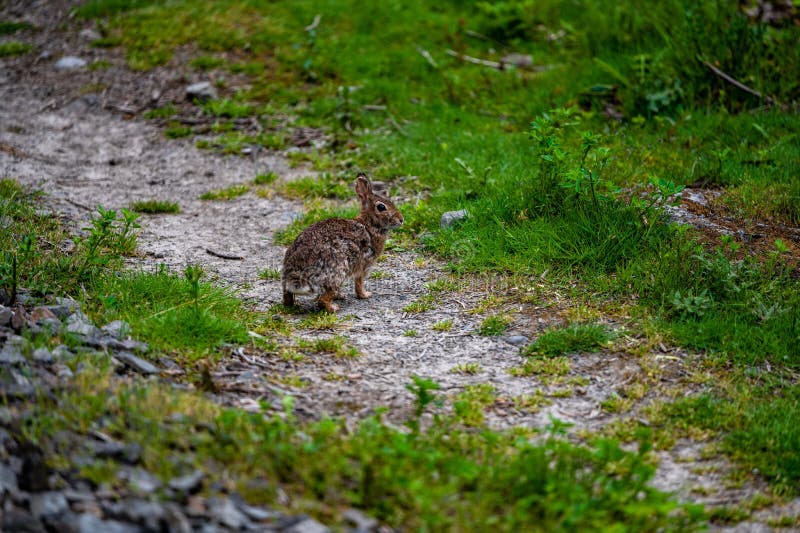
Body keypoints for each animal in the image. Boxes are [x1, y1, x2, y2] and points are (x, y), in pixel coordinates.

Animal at [282, 173, 404, 312]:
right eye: (381, 207)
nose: (401, 219)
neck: (370, 225)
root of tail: (296, 278)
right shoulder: (364, 266)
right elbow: (359, 283)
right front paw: (365, 295)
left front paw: (341, 295)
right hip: (337, 272)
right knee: (322, 299)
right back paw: (334, 308)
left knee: (288, 297)